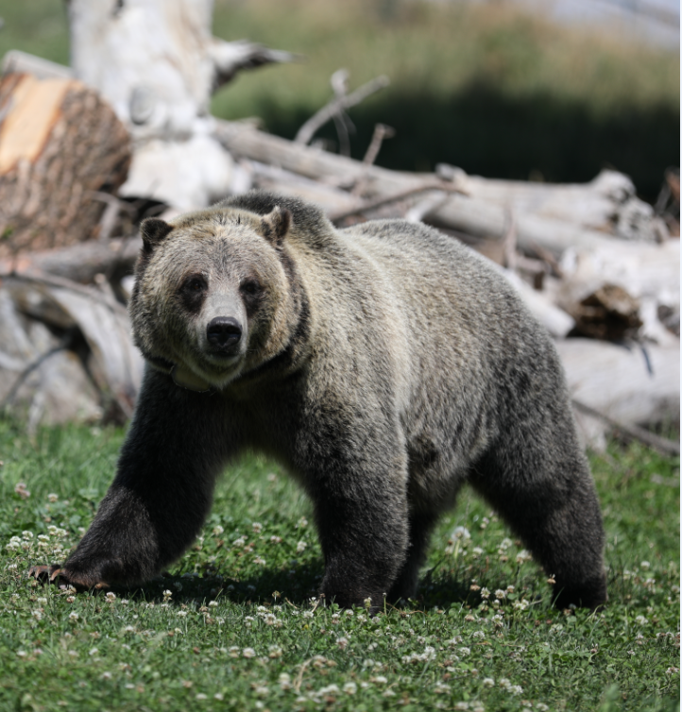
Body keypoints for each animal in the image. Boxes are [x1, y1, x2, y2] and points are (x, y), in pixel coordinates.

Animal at [30, 191, 607, 612]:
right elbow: (158, 486)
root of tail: (497, 271)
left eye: (250, 285)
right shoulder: (186, 401)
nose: (224, 331)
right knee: (417, 511)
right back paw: (402, 586)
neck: (252, 381)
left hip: (501, 386)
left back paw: (581, 588)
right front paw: (66, 569)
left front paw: (343, 592)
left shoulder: (330, 379)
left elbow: (358, 481)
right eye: (194, 282)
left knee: (546, 485)